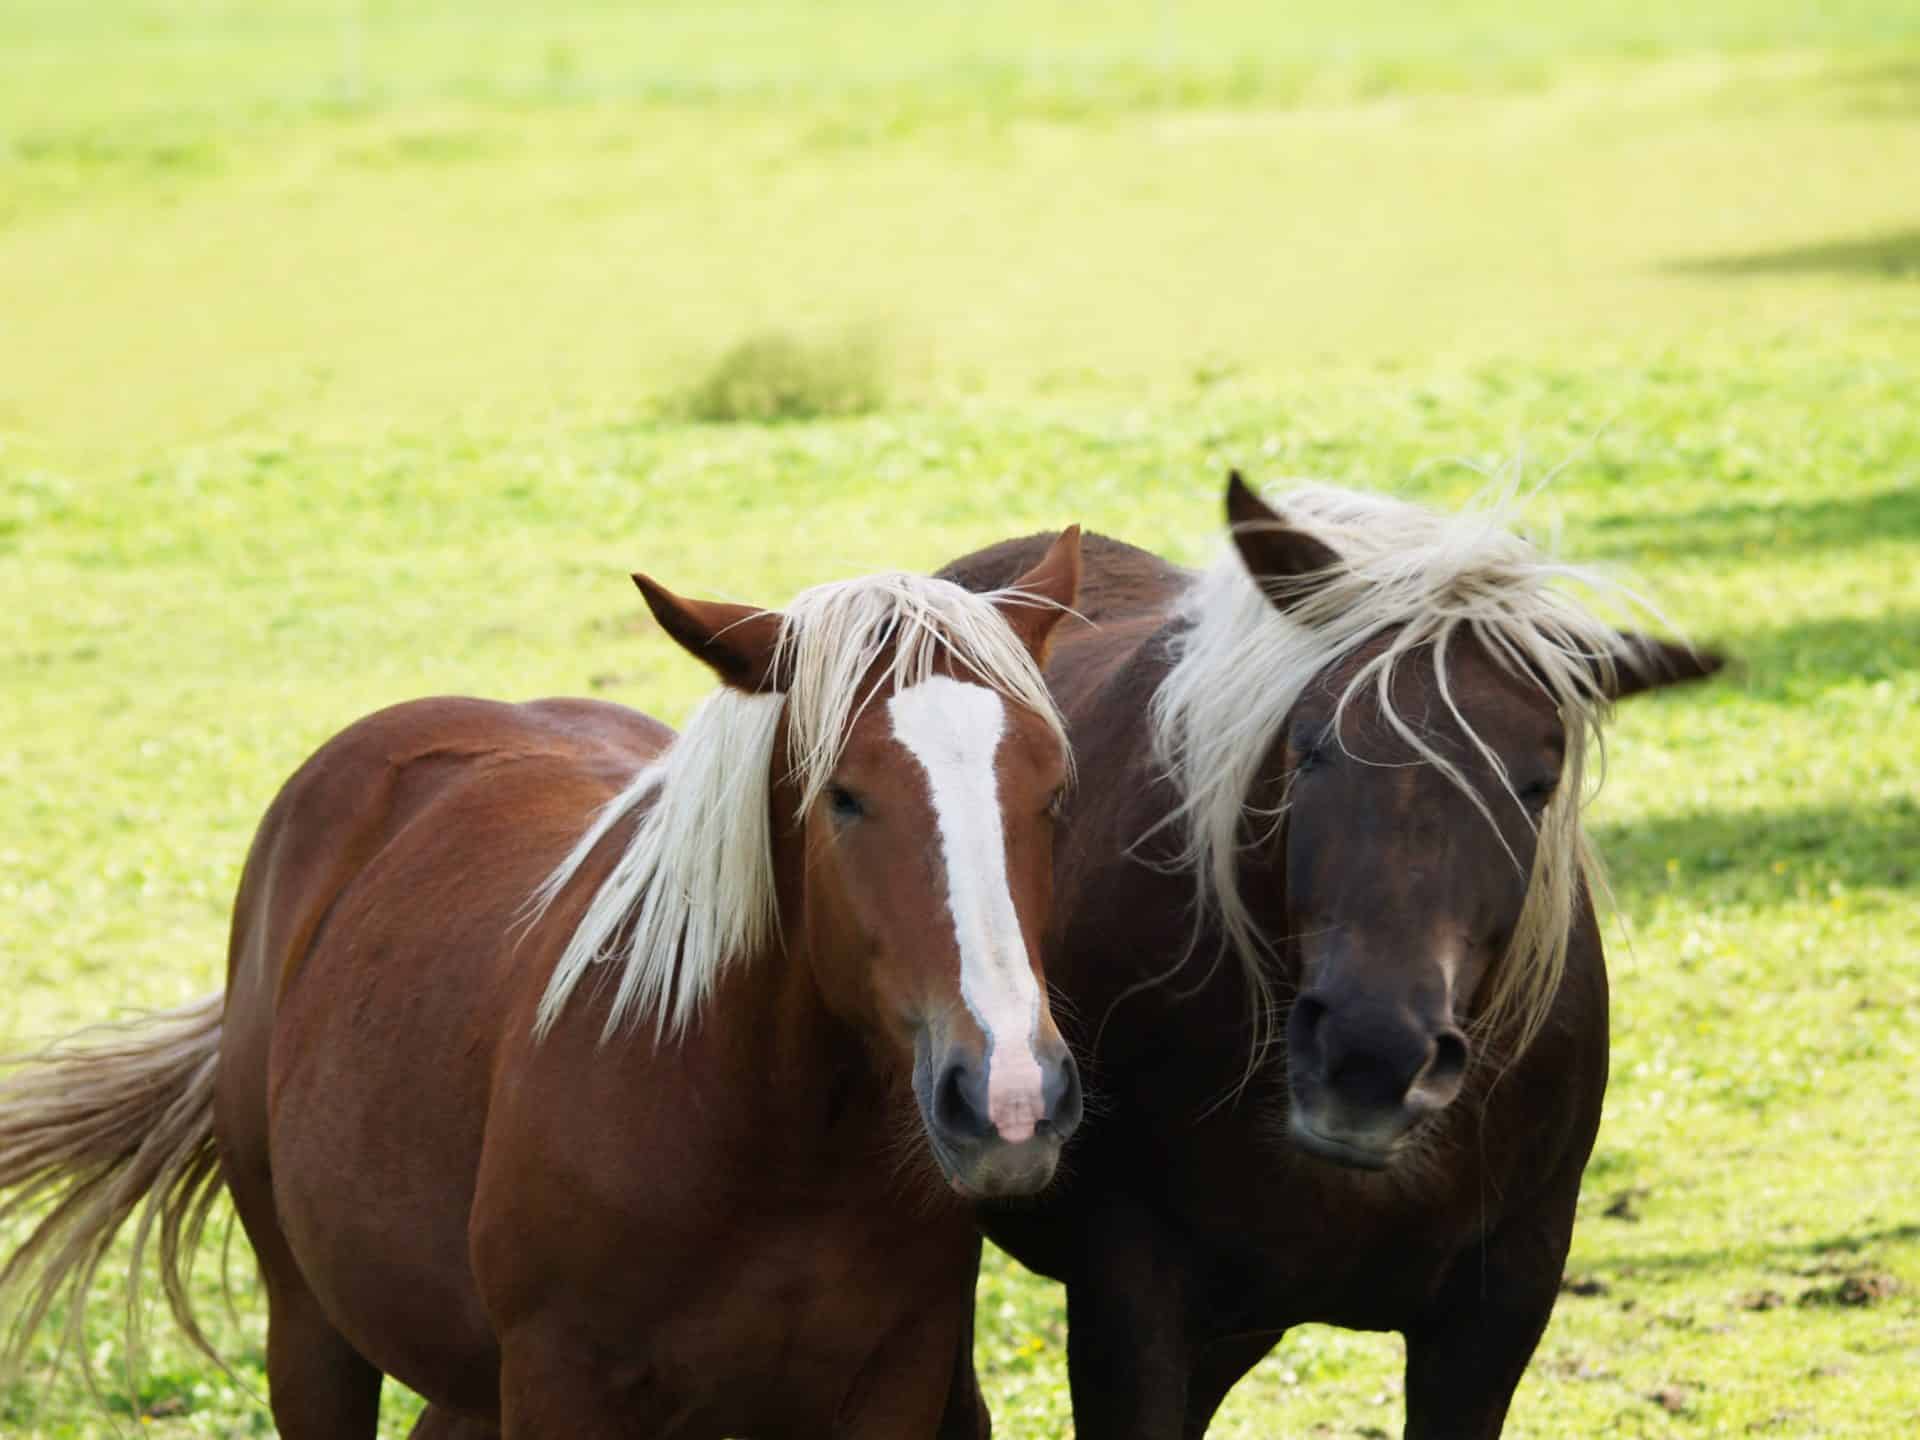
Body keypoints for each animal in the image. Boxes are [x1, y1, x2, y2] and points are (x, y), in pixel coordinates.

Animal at [0, 531, 1086, 1439]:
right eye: (844, 797)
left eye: (1050, 793)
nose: (1011, 1099)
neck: (770, 1142)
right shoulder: (561, 1387)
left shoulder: (892, 1384)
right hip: (311, 1336)